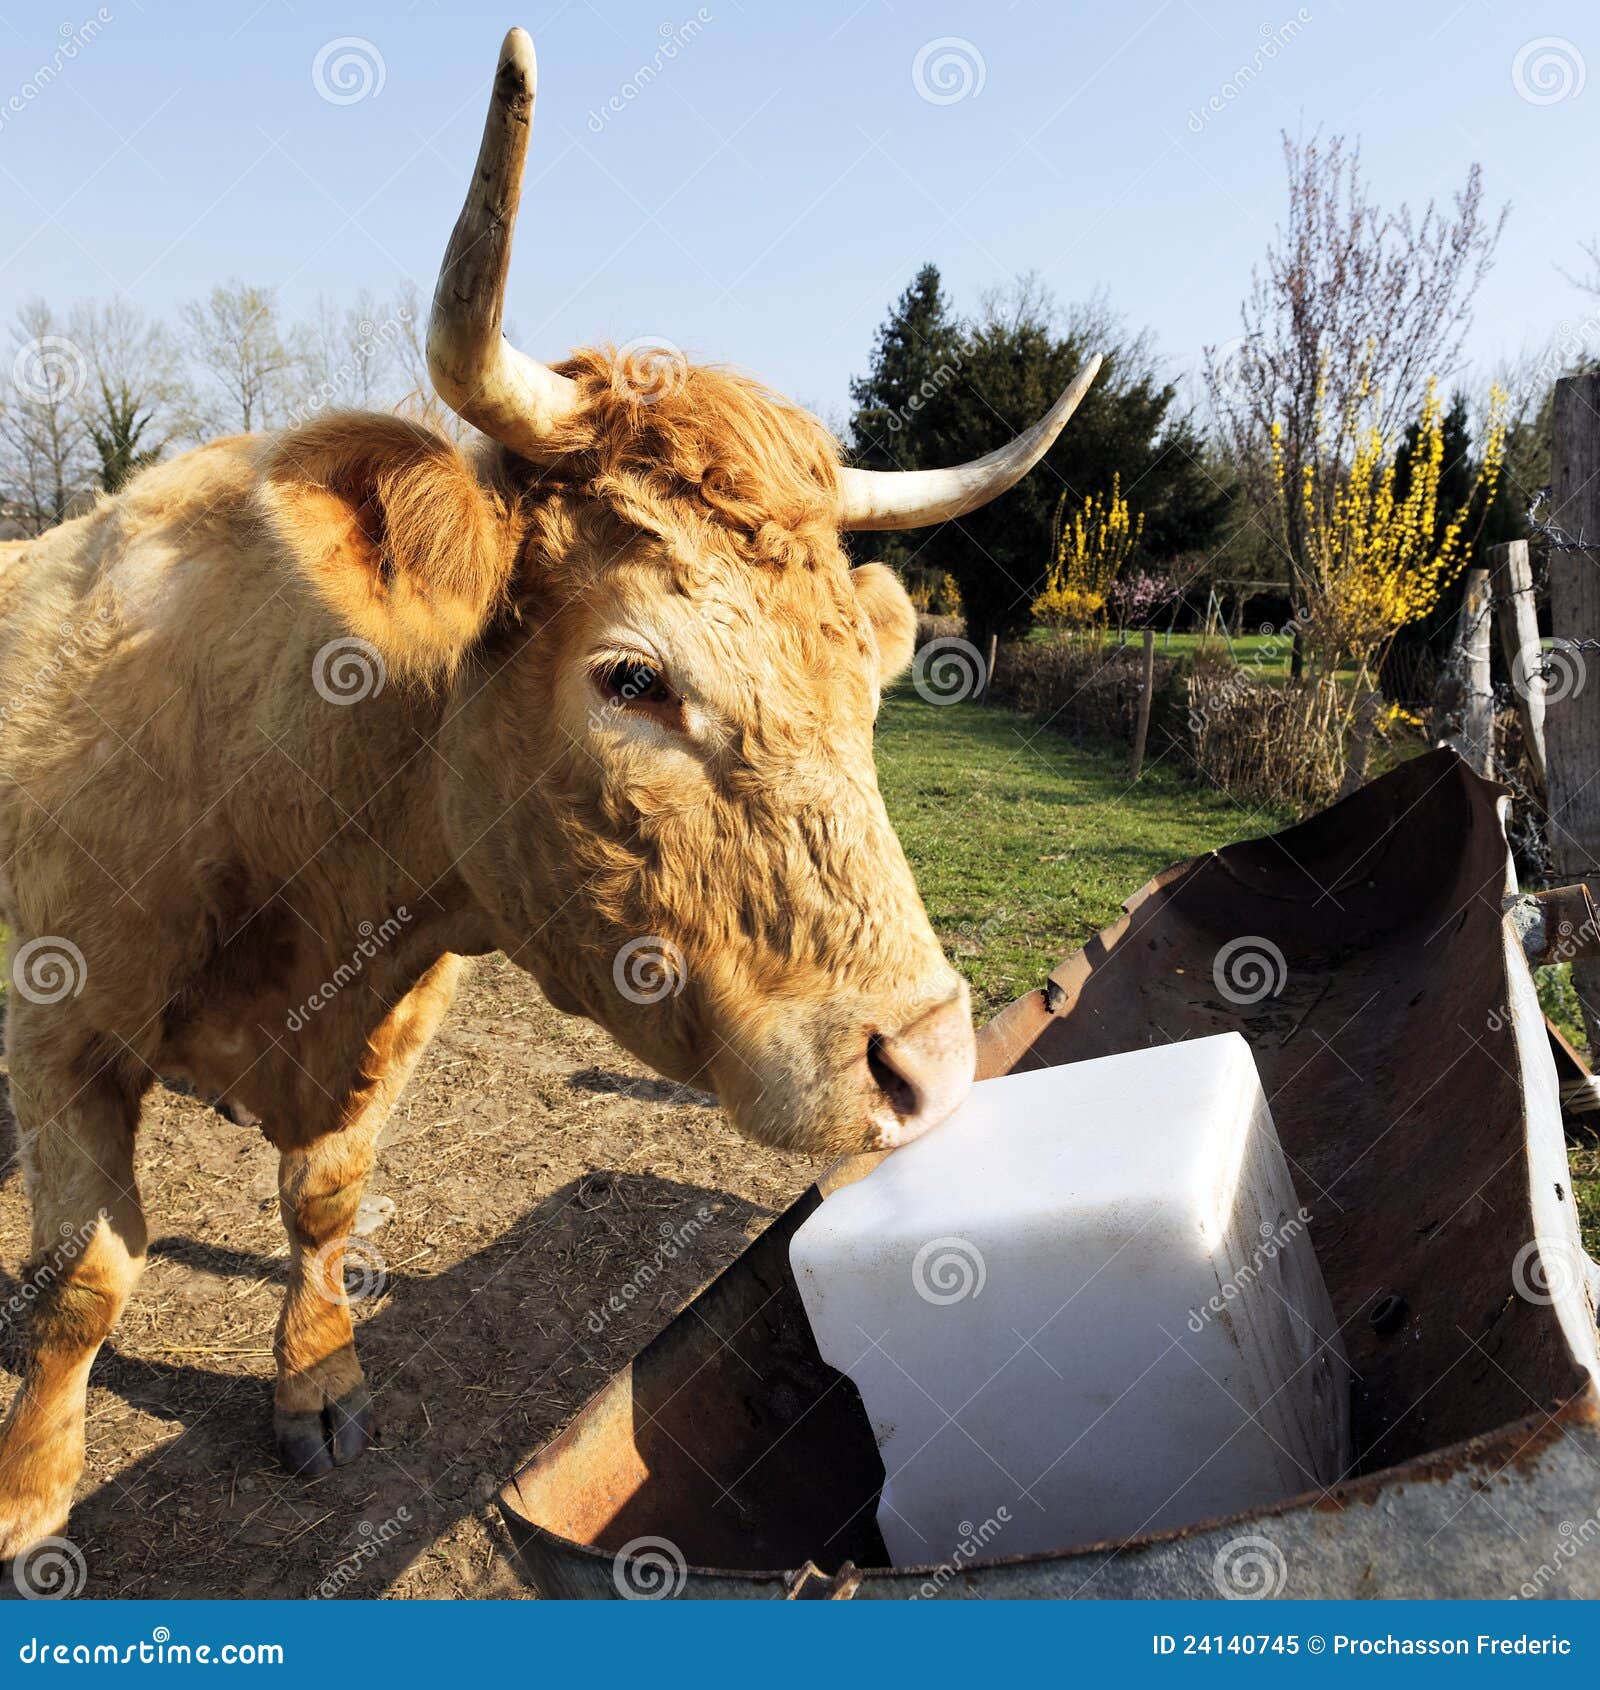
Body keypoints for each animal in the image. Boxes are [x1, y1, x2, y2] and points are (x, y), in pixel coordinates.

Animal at [0, 28, 1098, 1559]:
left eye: (865, 679)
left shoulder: (399, 1002)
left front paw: (316, 1374)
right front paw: (28, 1495)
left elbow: (323, 1193)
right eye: (631, 676)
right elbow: (84, 1277)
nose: (931, 1061)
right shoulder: (60, 1028)